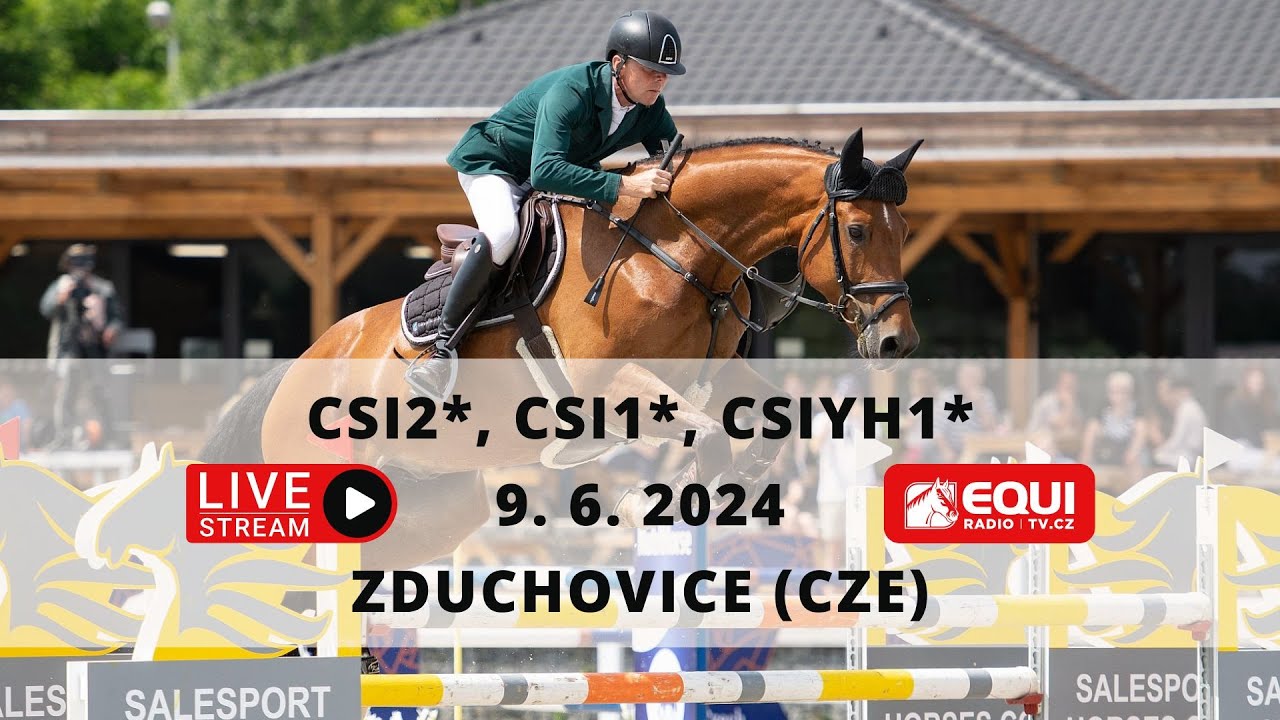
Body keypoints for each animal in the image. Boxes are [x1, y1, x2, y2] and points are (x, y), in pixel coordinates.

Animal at [201, 129, 923, 570]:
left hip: (436, 506)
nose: (898, 340)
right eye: (859, 231)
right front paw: (665, 492)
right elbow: (701, 428)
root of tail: (291, 374)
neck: (674, 252)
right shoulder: (609, 384)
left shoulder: (714, 370)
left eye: (905, 229)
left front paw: (730, 483)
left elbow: (771, 417)